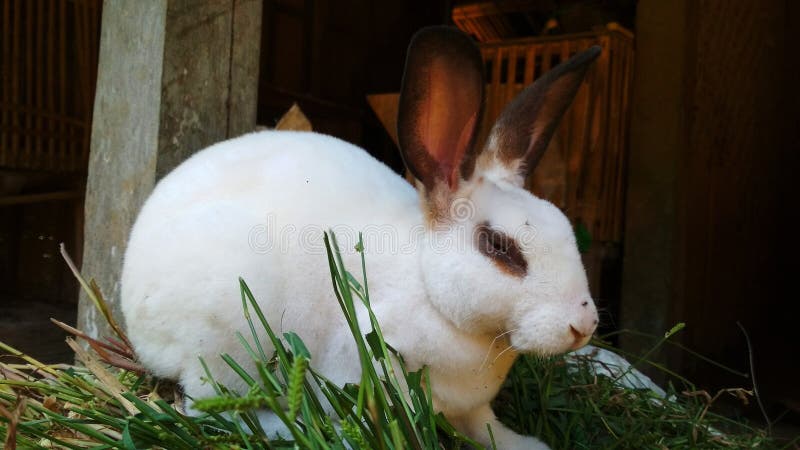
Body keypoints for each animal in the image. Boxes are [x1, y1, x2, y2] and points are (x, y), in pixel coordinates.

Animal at [120, 26, 600, 450]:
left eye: (564, 227)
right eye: (499, 247)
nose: (585, 325)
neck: (428, 289)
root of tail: (128, 286)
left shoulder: (472, 408)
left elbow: (486, 428)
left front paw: (527, 444)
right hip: (226, 343)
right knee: (209, 409)